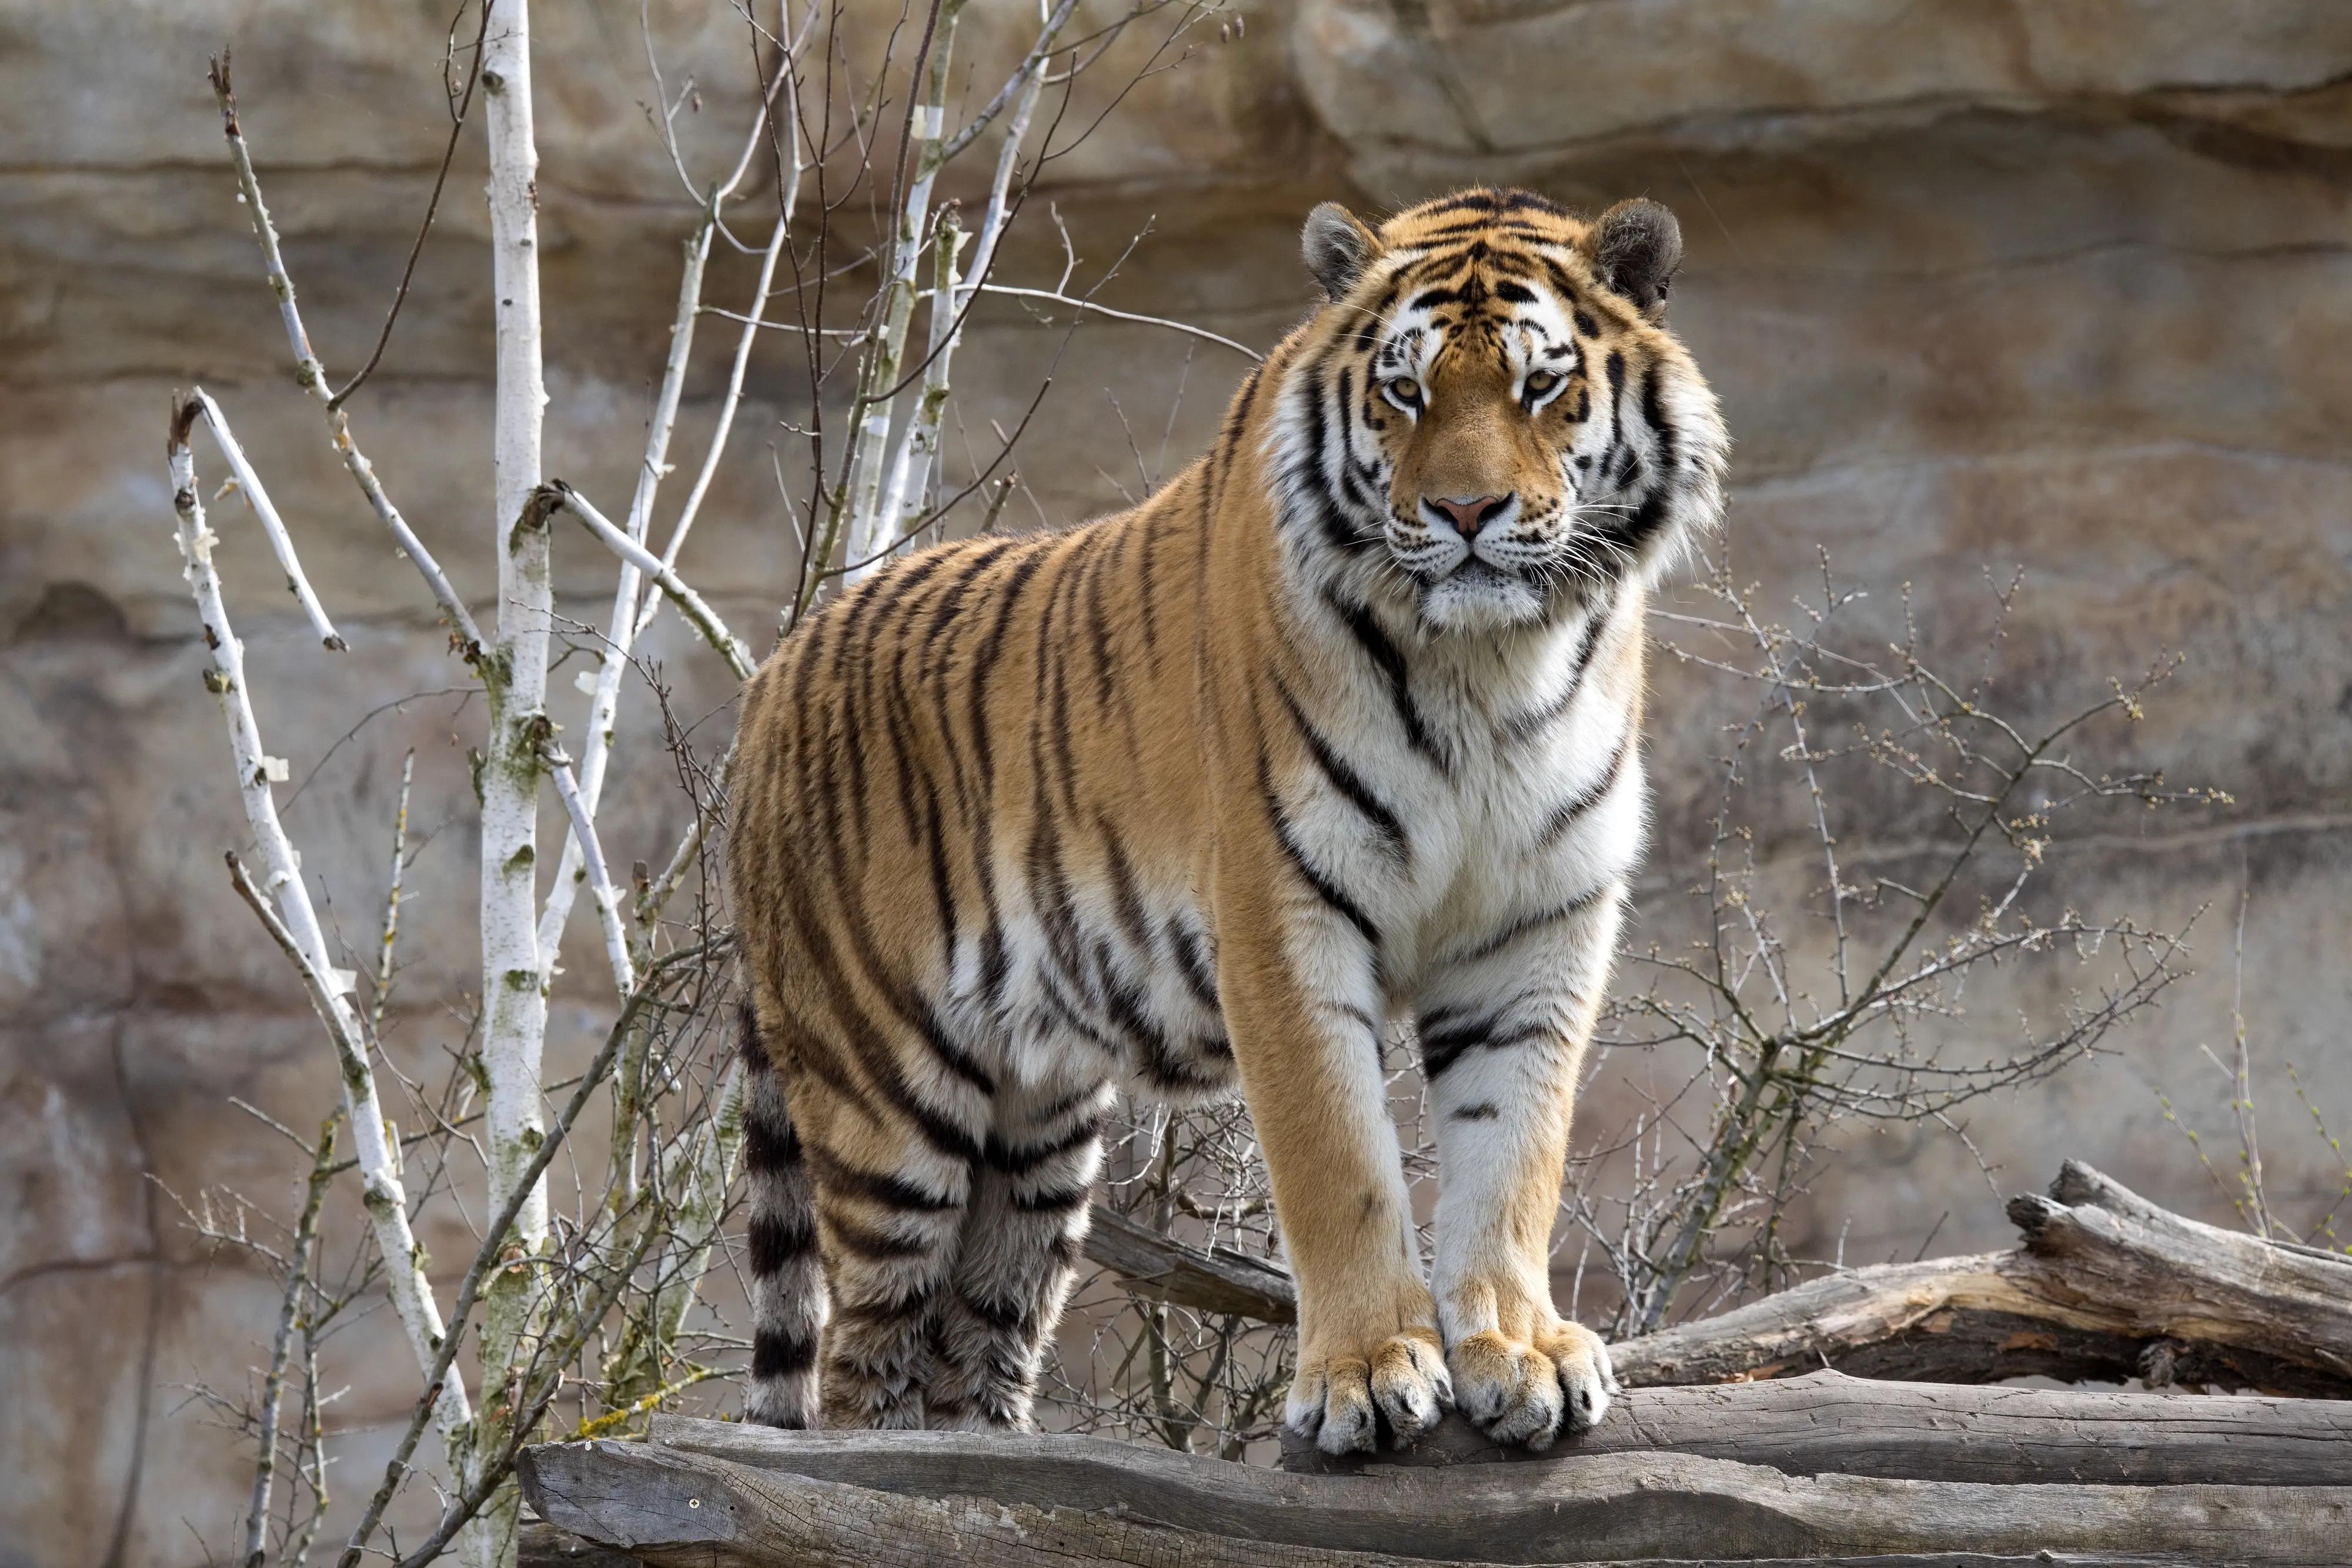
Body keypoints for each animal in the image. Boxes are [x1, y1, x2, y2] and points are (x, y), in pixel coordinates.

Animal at [726, 186, 1728, 1453]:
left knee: (976, 1341)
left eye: (1539, 386)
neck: (1489, 665)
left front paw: (1518, 1352)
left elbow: (1514, 1154)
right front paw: (1366, 1376)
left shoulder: (1539, 923)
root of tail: (775, 670)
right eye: (1404, 392)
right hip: (887, 1095)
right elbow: (1337, 1160)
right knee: (863, 1366)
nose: (1463, 511)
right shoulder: (1282, 912)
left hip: (1037, 1132)